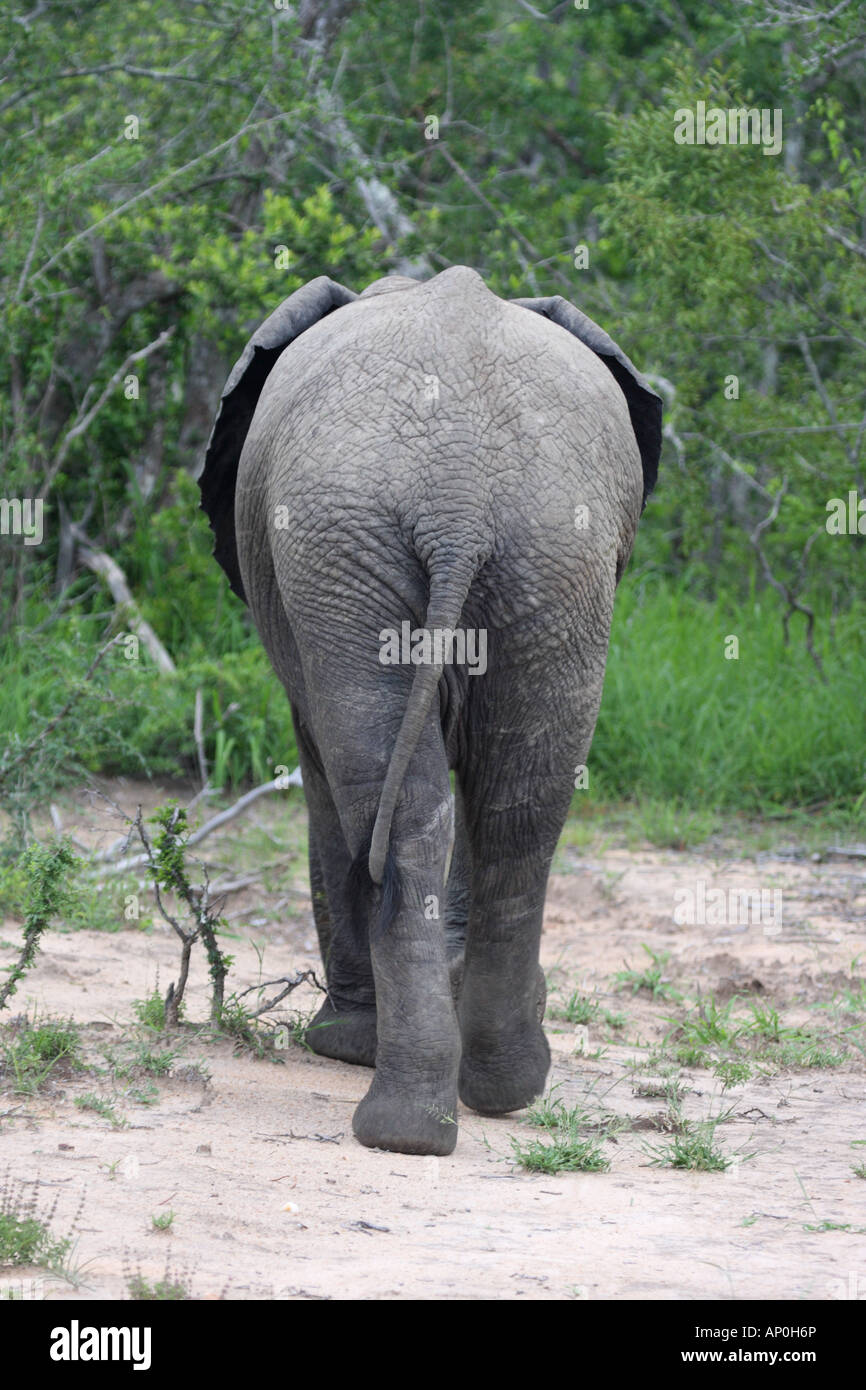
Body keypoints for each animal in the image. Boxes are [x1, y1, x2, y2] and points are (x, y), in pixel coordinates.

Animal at [199, 266, 661, 1156]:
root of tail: (460, 498)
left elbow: (321, 769)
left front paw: (340, 1044)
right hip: (540, 553)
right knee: (516, 805)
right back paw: (486, 1094)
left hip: (378, 549)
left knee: (388, 797)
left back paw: (398, 1108)